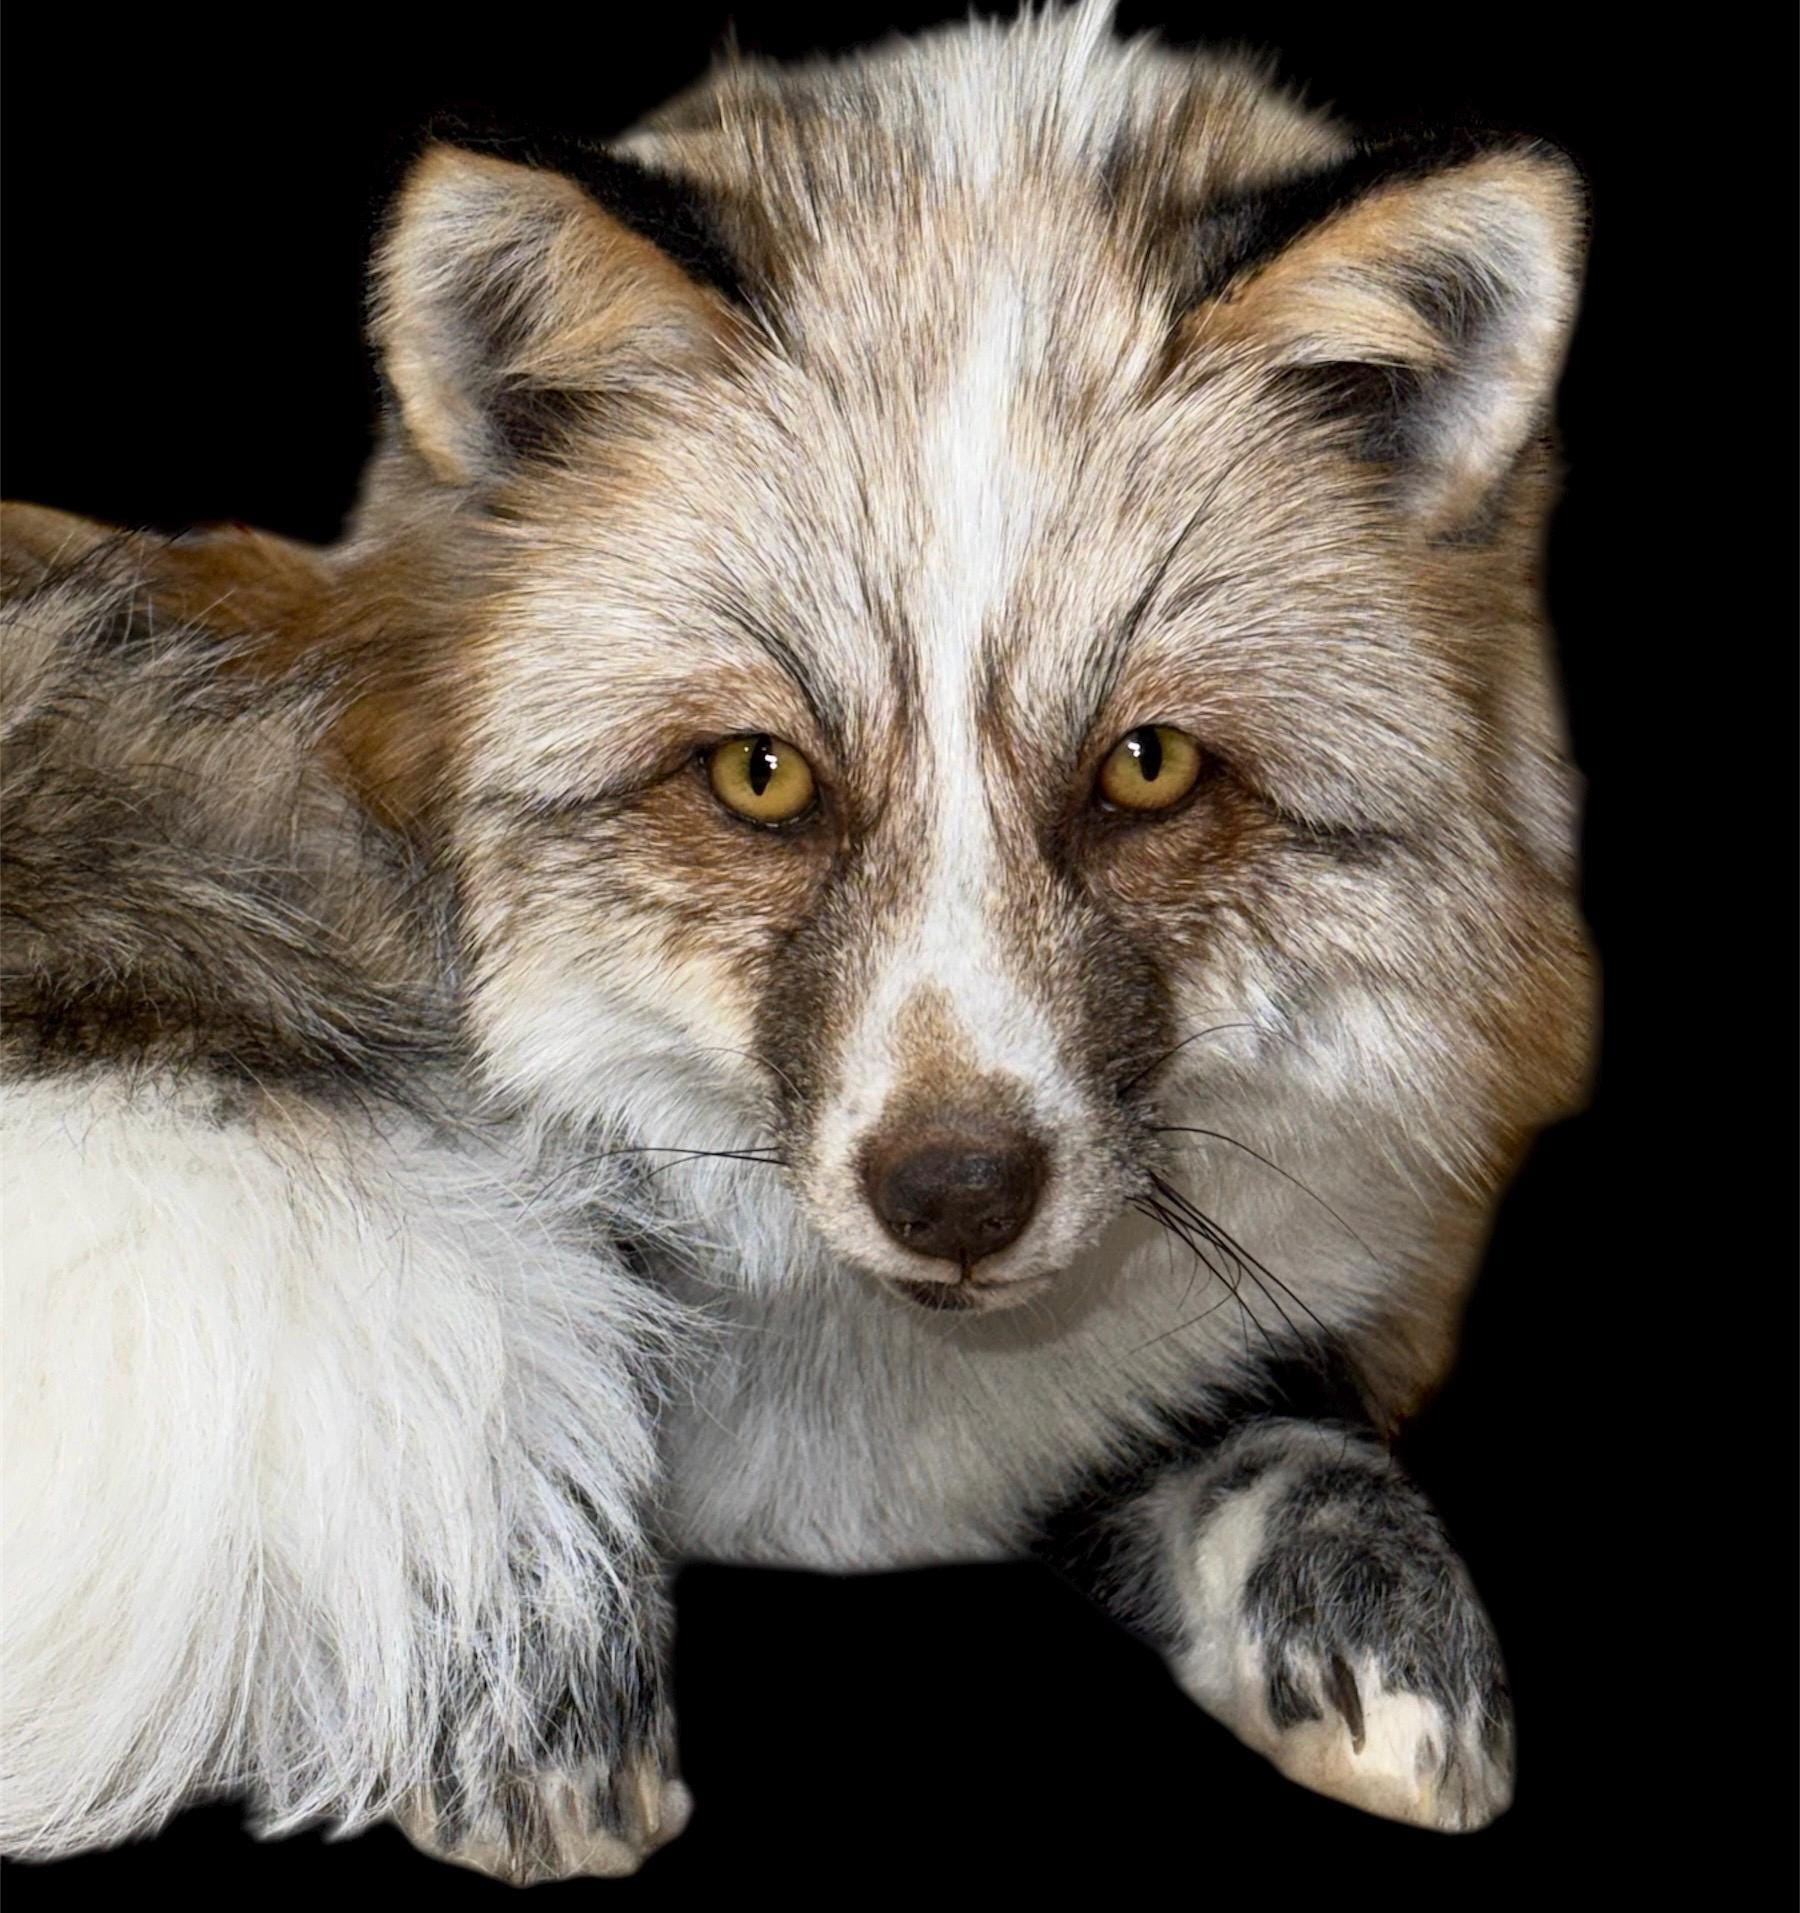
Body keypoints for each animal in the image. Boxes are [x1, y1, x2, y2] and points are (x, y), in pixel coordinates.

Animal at [1, 1, 1593, 1884]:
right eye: (762, 775)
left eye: (1148, 766)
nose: (956, 1190)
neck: (849, 1448)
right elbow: (438, 1392)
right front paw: (527, 1666)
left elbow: (1279, 1431)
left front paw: (1369, 1595)